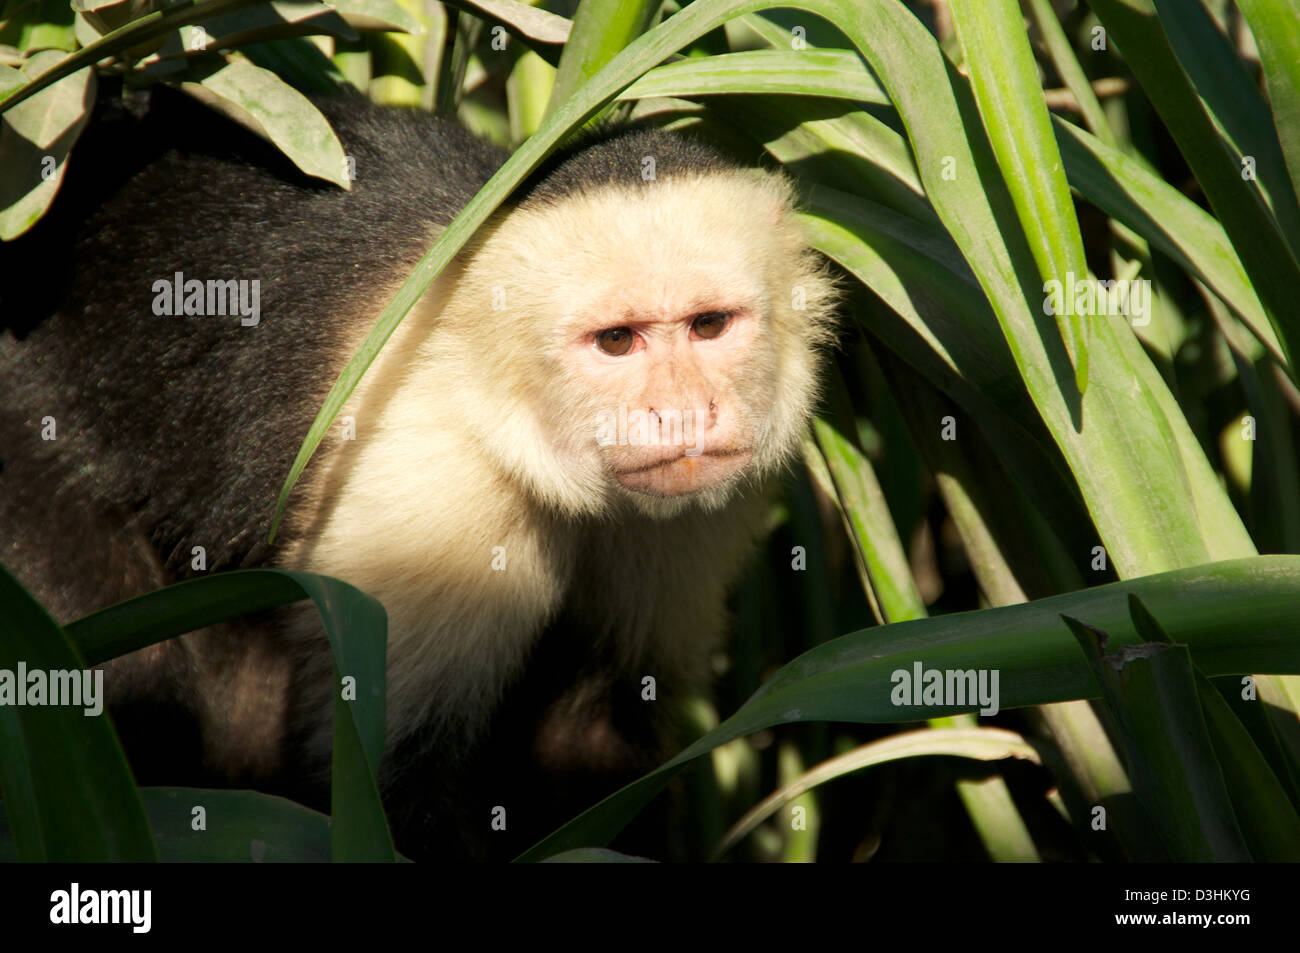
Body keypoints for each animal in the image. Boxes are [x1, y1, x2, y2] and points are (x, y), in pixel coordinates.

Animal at [0, 86, 837, 860]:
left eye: (709, 325)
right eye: (617, 341)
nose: (683, 413)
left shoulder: (688, 513)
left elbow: (592, 738)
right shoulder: (431, 477)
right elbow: (389, 788)